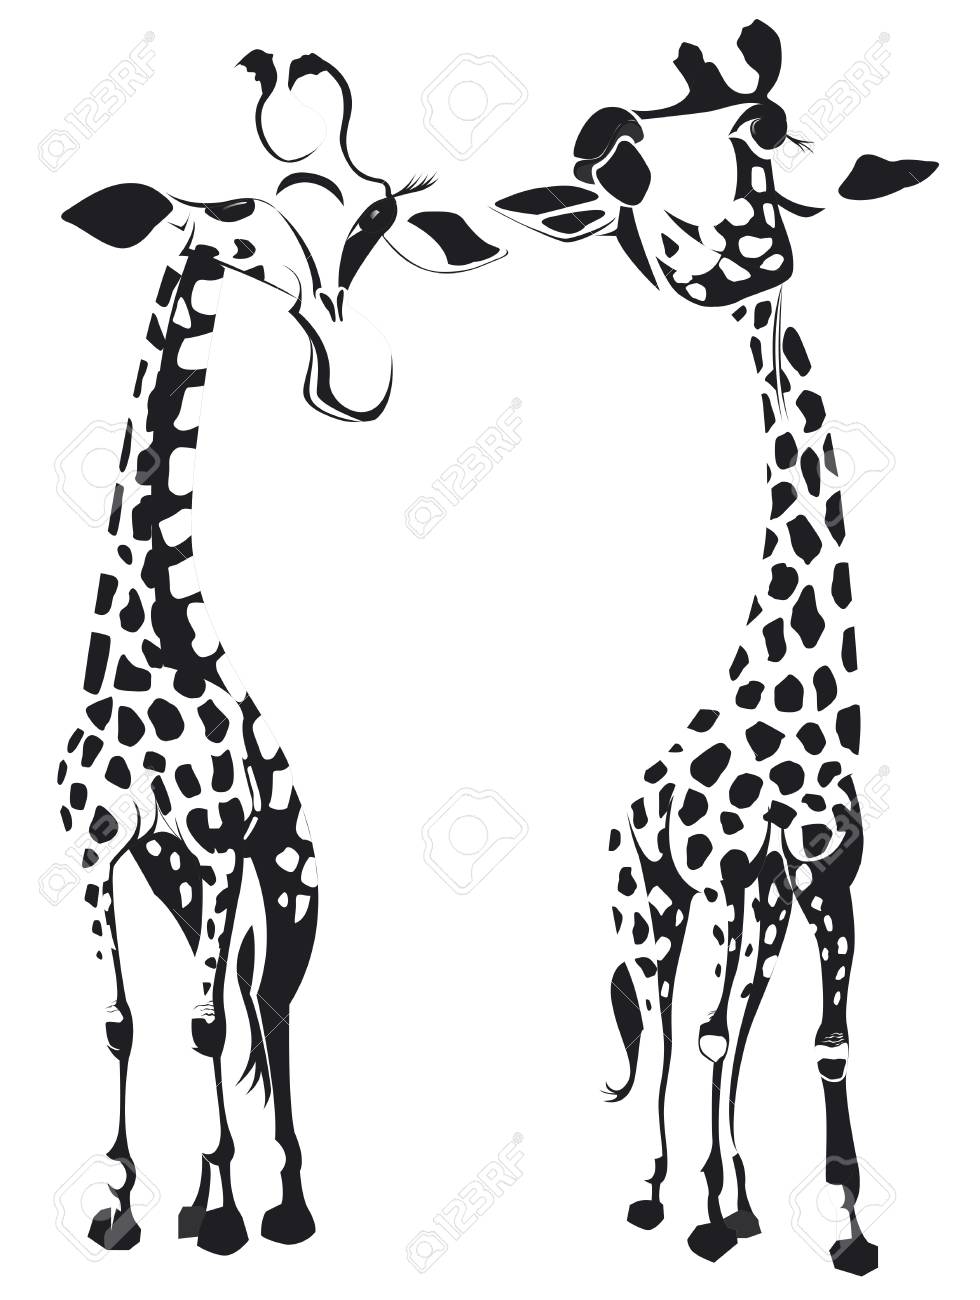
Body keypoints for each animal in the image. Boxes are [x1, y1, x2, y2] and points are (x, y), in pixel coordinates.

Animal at [57, 50, 504, 1256]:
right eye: (235, 231)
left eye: (373, 232)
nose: (353, 374)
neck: (144, 644)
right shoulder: (100, 852)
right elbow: (120, 1020)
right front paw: (117, 1206)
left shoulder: (218, 850)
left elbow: (210, 1025)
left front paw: (213, 1209)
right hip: (178, 876)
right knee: (238, 1001)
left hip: (287, 874)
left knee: (271, 1006)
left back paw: (289, 1204)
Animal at [493, 20, 936, 1277]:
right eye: (625, 179)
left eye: (764, 136)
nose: (732, 260)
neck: (807, 703)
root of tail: (615, 811)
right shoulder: (734, 872)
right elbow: (699, 1034)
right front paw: (699, 1208)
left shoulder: (820, 875)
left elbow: (815, 1037)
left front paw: (837, 1227)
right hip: (647, 897)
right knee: (657, 1012)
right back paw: (652, 1189)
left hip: (743, 905)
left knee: (712, 1016)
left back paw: (719, 1197)